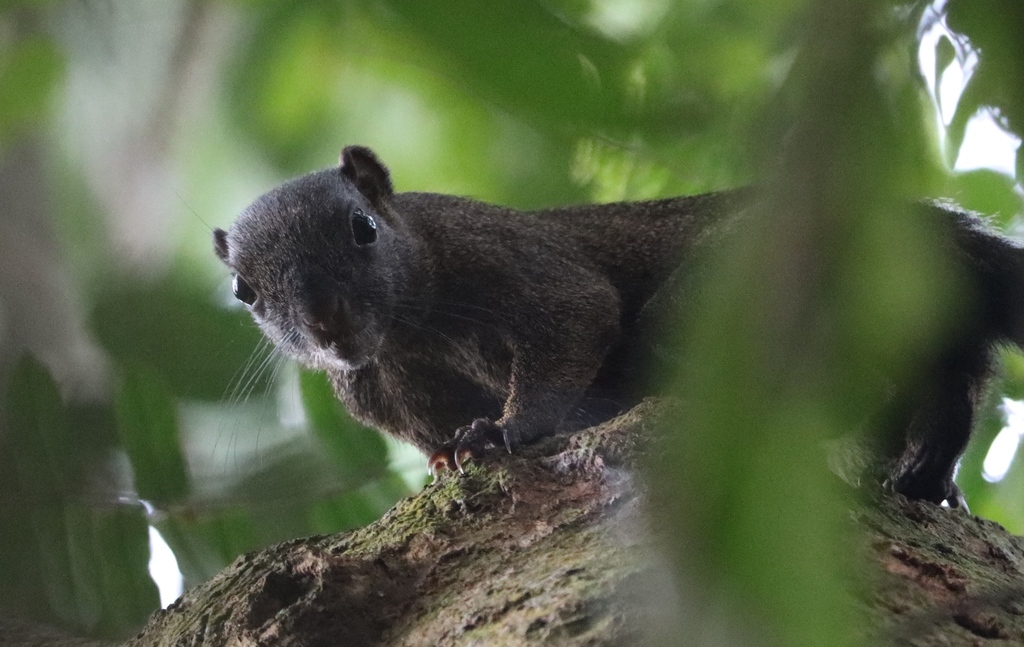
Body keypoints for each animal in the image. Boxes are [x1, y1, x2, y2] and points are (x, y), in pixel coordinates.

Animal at [214, 145, 1024, 506]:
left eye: (363, 229)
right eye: (244, 291)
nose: (327, 326)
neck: (407, 341)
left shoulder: (508, 260)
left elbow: (576, 318)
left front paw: (501, 430)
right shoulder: (379, 393)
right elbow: (432, 434)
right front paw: (449, 454)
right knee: (951, 385)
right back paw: (925, 469)